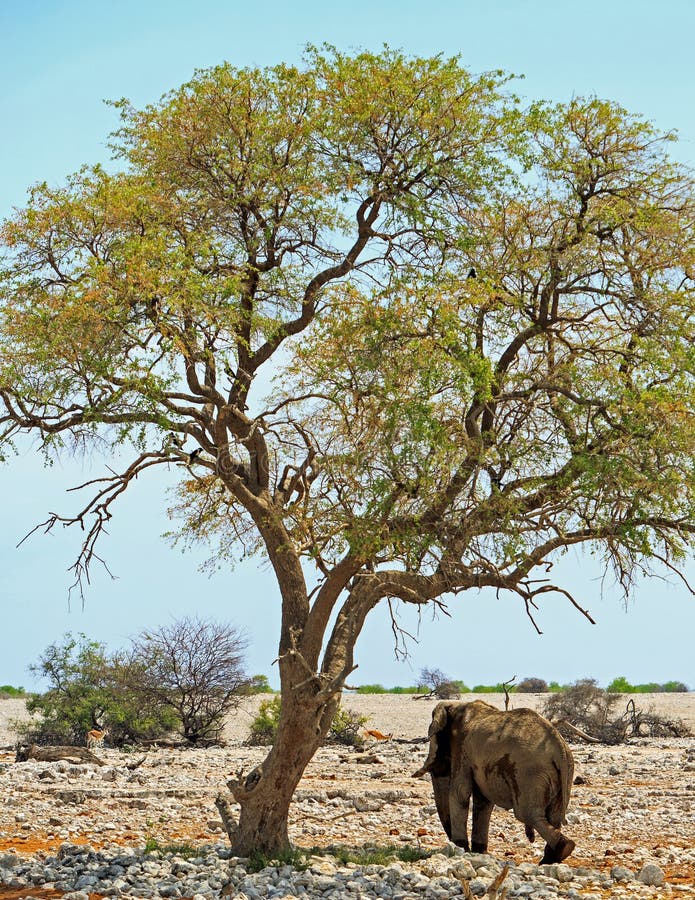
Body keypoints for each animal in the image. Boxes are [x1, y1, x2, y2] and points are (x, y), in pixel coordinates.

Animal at [413, 700, 575, 863]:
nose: (453, 842)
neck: (456, 705)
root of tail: (561, 749)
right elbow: (483, 800)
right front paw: (478, 851)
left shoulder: (461, 747)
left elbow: (460, 792)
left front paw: (462, 848)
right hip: (561, 774)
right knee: (553, 816)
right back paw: (553, 858)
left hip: (529, 773)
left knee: (526, 814)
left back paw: (562, 849)